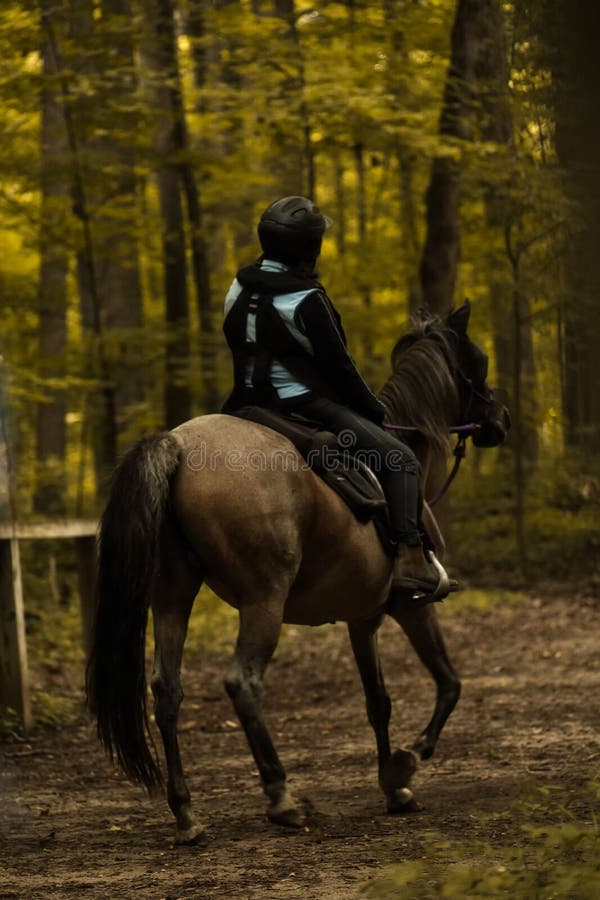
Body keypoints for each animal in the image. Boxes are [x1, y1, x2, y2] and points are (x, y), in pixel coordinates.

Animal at [87, 300, 510, 845]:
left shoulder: (361, 619)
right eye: (477, 360)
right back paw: (281, 797)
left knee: (167, 690)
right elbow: (449, 684)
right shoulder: (410, 607)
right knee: (243, 683)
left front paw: (393, 787)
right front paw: (407, 762)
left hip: (173, 596)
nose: (501, 418)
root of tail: (177, 446)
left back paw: (186, 814)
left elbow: (378, 701)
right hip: (263, 600)